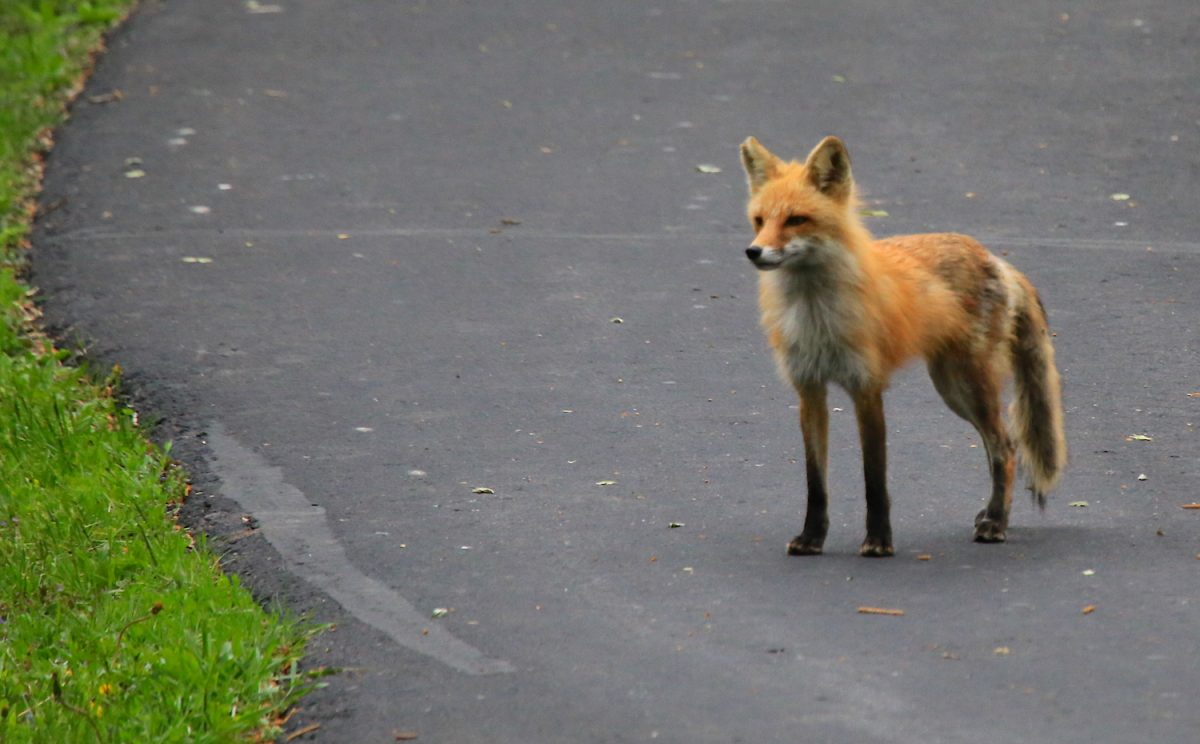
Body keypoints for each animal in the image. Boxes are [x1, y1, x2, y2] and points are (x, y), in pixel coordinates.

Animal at [738, 135, 1066, 556]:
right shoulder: (809, 390)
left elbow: (874, 480)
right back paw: (990, 514)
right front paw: (812, 538)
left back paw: (996, 523)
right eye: (760, 221)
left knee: (1006, 448)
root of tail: (993, 256)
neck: (816, 313)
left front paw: (879, 540)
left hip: (967, 386)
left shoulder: (867, 388)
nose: (754, 251)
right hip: (954, 387)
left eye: (796, 219)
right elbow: (816, 484)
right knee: (997, 446)